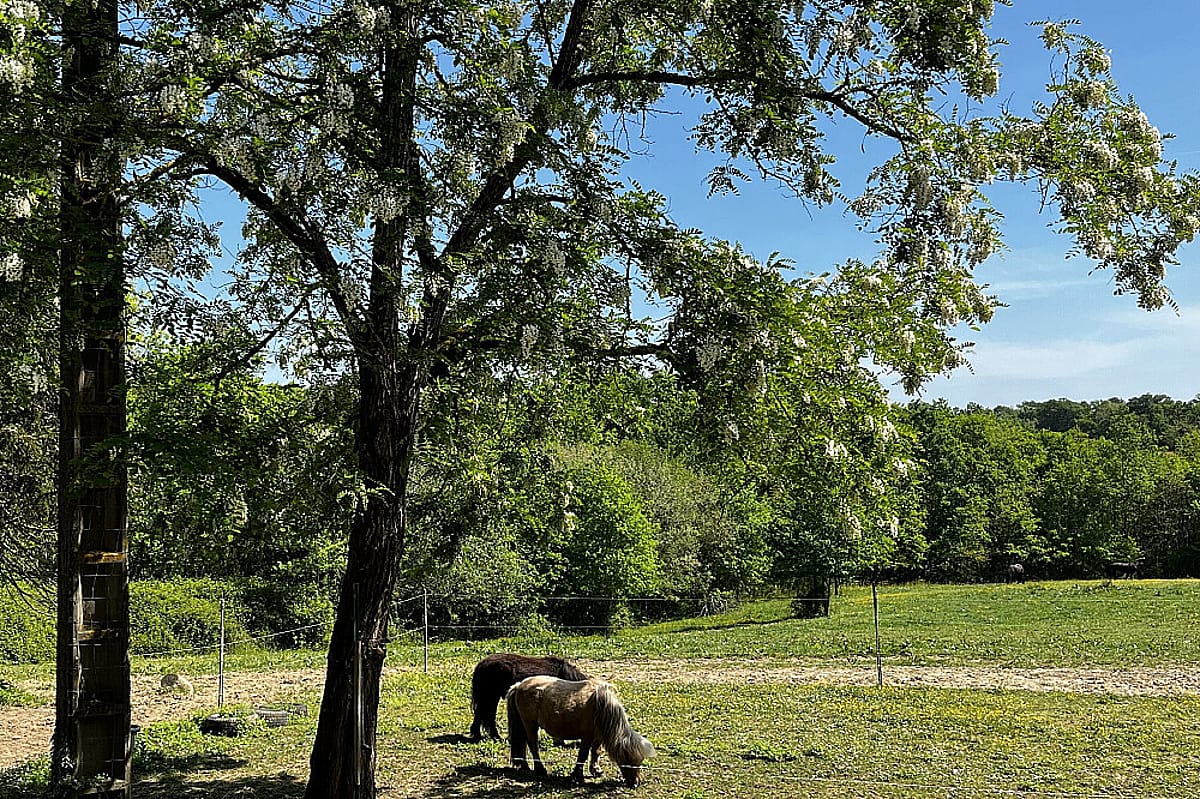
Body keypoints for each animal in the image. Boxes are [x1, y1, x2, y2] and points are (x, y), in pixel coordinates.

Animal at [506, 675, 655, 787]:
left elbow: (596, 752)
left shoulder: (597, 736)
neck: (601, 706)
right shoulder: (587, 736)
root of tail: (518, 686)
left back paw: (524, 766)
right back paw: (540, 769)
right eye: (629, 760)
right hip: (530, 724)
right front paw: (577, 775)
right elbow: (583, 755)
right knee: (532, 745)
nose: (636, 783)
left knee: (523, 743)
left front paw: (596, 770)